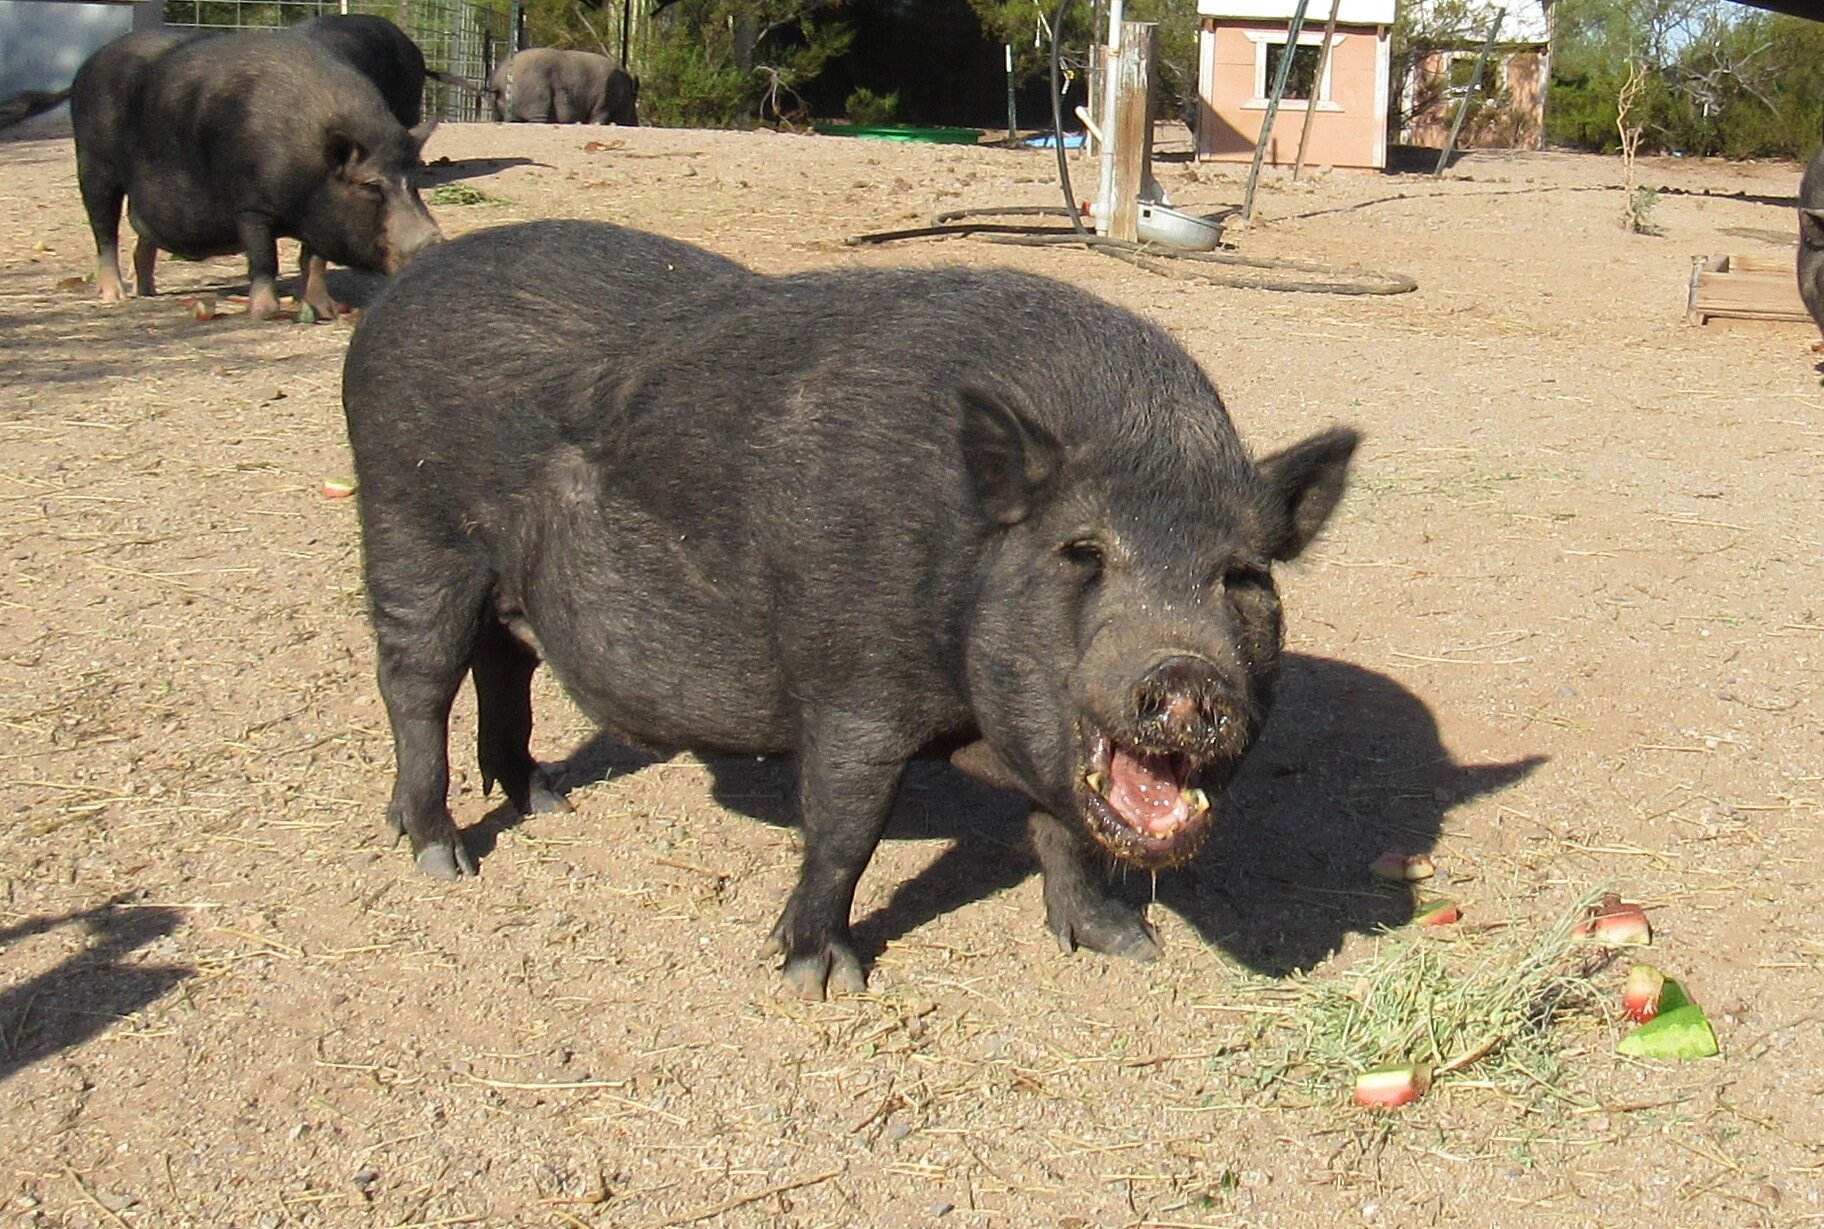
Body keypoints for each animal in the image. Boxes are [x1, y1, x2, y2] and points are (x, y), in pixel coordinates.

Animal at [54, 29, 441, 319]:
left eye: (415, 179)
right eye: (369, 185)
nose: (433, 239)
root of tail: (89, 63)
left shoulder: (317, 219)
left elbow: (314, 260)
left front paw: (327, 310)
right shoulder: (250, 207)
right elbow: (264, 257)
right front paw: (265, 312)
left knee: (143, 233)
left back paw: (147, 291)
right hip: (94, 163)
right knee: (104, 228)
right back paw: (114, 295)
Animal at [342, 220, 1358, 999]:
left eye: (1243, 577)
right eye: (1084, 551)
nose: (1186, 672)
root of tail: (394, 297)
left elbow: (1062, 828)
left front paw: (1127, 947)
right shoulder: (850, 682)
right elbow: (846, 827)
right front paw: (820, 978)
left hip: (498, 580)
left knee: (504, 661)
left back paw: (542, 797)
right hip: (411, 524)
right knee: (415, 681)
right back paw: (440, 853)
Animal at [488, 48, 638, 125]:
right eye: (633, 105)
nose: (637, 123)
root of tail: (497, 82)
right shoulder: (603, 104)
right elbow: (597, 119)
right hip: (535, 101)